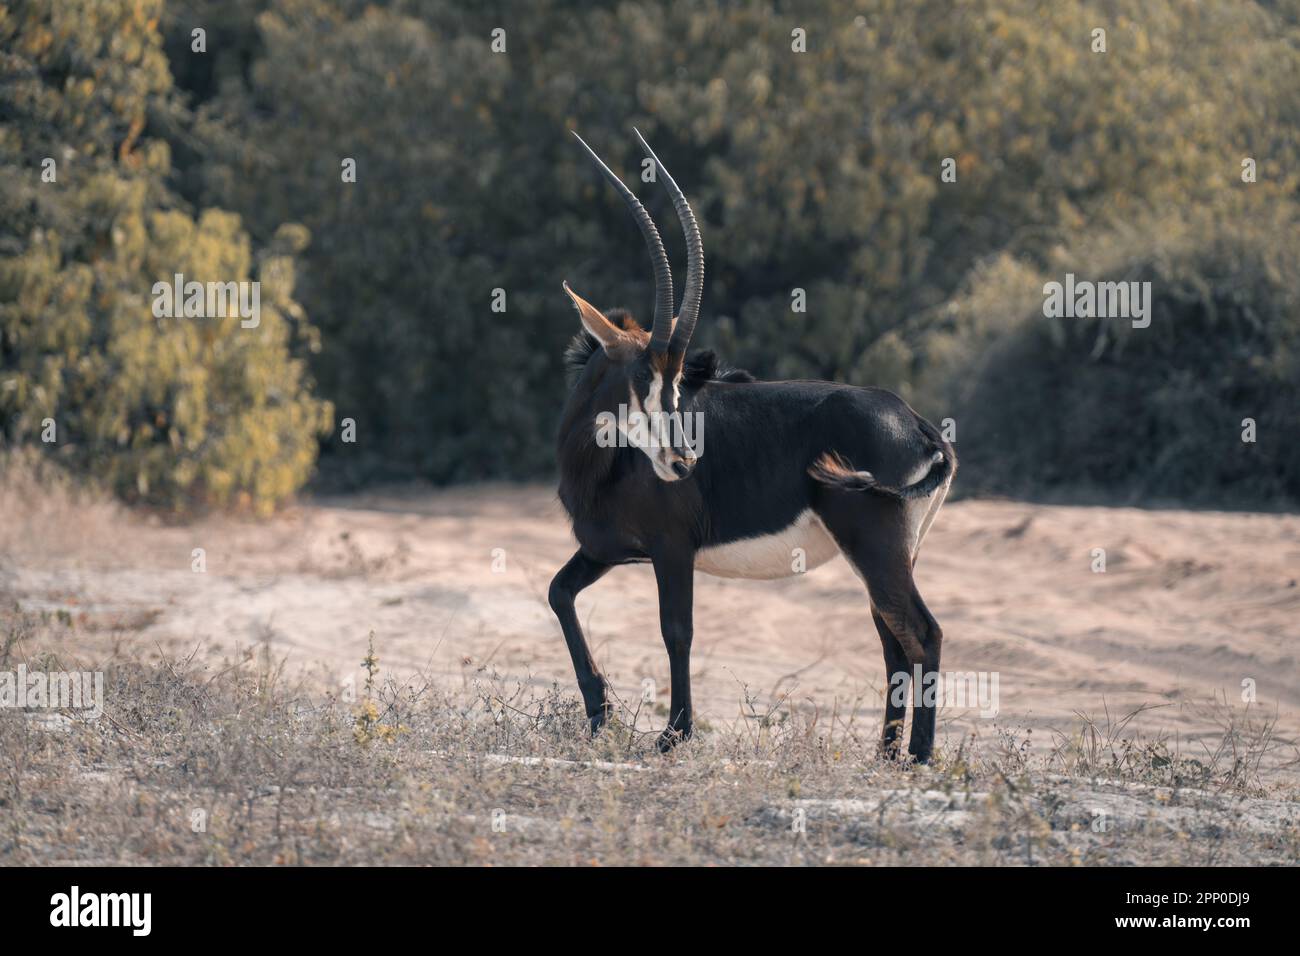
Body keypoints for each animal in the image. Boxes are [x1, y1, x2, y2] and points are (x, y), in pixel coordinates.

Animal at [551, 130, 956, 762]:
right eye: (644, 376)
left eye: (678, 380)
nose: (683, 461)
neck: (599, 463)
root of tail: (920, 428)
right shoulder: (607, 549)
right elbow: (558, 594)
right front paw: (601, 713)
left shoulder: (671, 548)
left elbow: (677, 631)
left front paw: (673, 734)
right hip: (889, 553)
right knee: (894, 639)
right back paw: (887, 756)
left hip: (876, 546)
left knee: (922, 633)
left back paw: (917, 756)